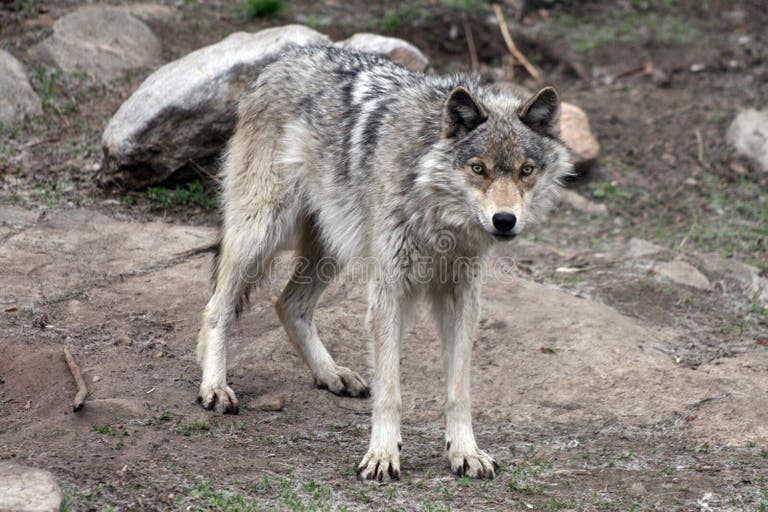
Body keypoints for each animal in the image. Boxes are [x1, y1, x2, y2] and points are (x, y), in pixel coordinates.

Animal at [196, 44, 572, 480]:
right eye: (479, 168)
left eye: (526, 170)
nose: (505, 220)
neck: (437, 210)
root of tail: (283, 57)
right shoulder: (390, 289)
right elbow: (390, 389)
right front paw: (382, 454)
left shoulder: (461, 296)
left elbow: (458, 390)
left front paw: (465, 451)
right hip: (261, 233)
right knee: (216, 307)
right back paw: (214, 387)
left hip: (333, 246)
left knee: (287, 304)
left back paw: (331, 374)